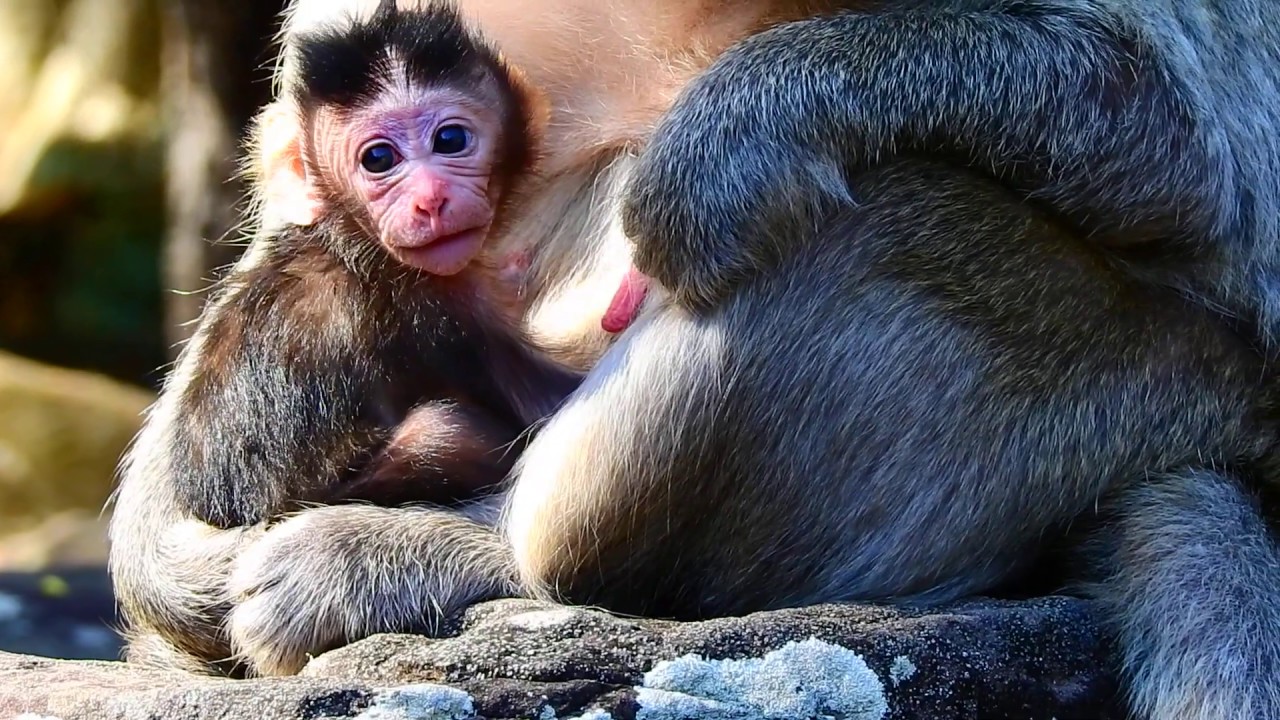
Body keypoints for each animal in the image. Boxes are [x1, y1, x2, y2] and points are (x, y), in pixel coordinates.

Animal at [108, 1, 1280, 718]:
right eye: (387, 154)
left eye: (450, 142)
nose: (430, 195)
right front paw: (166, 551)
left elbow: (1171, 141)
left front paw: (723, 141)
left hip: (1135, 386)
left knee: (876, 213)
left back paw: (468, 553)